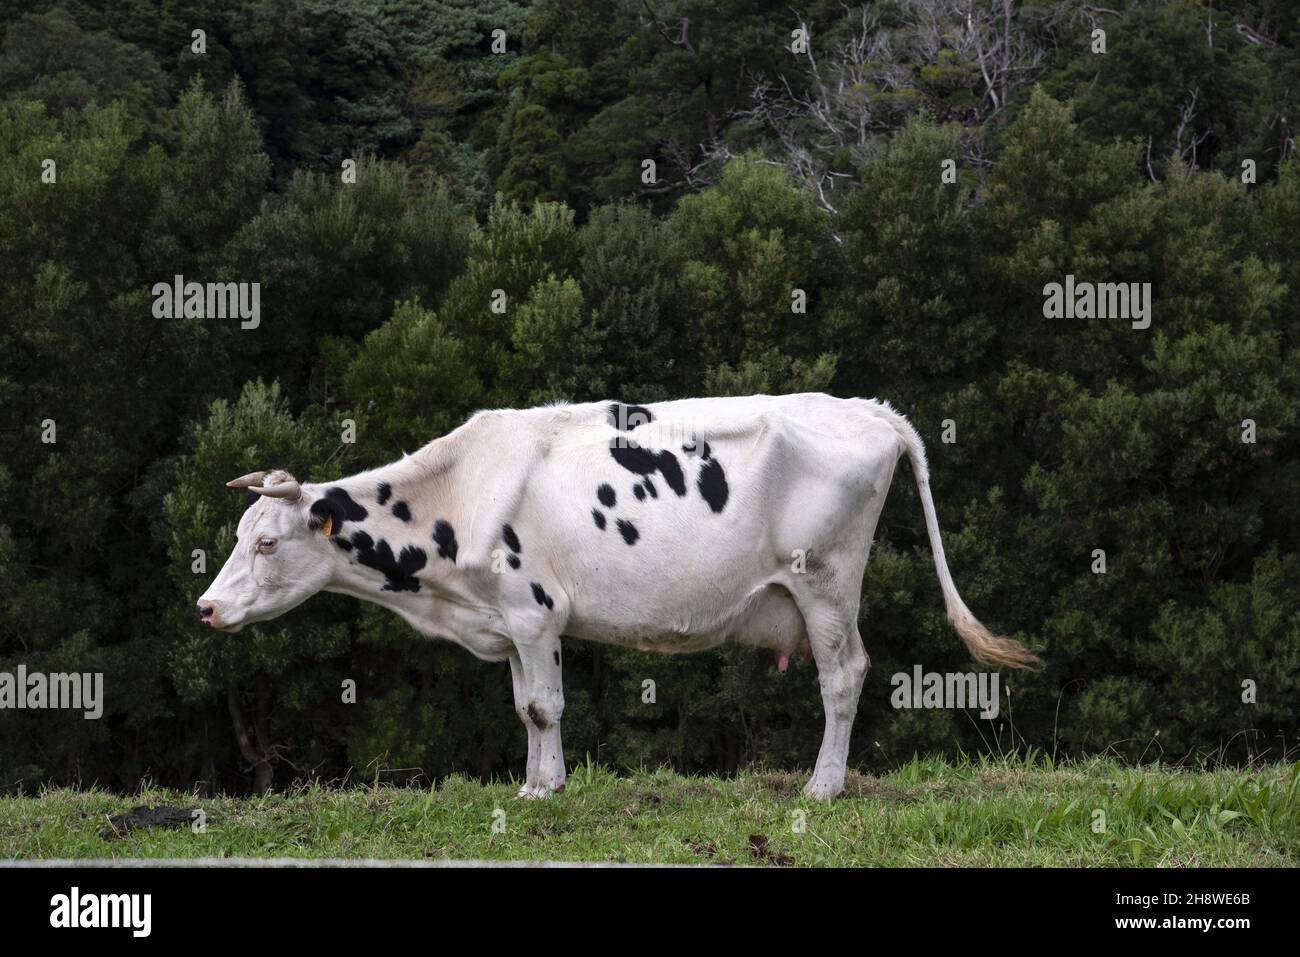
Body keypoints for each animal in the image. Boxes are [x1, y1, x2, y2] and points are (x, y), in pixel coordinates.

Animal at [197, 393, 1039, 799]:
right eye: (238, 534)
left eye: (267, 542)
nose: (206, 606)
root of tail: (870, 408)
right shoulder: (511, 620)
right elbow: (524, 707)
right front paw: (537, 779)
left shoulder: (534, 610)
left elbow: (544, 706)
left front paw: (545, 791)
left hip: (825, 581)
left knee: (843, 677)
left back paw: (822, 785)